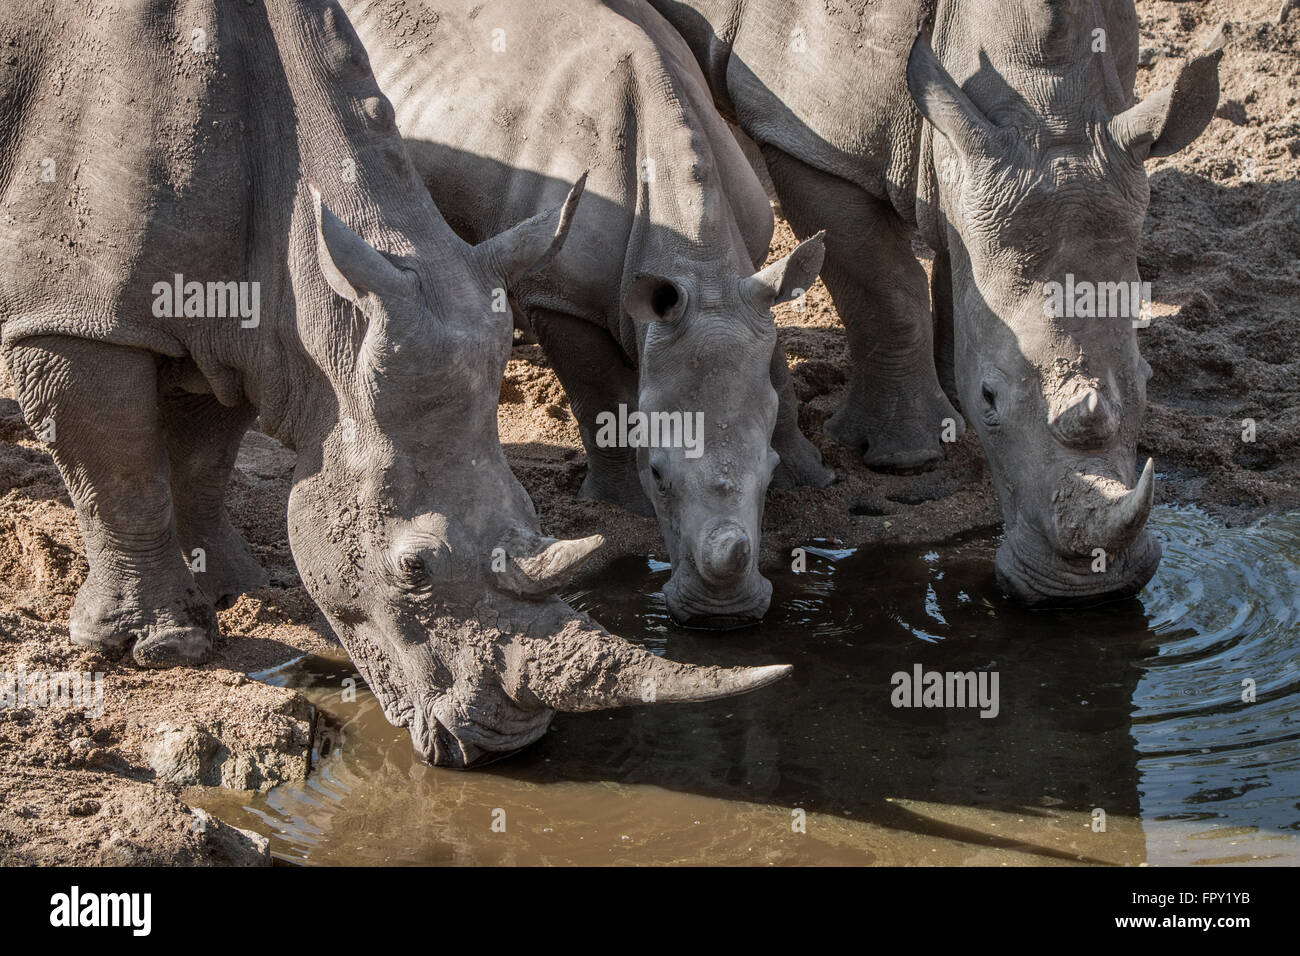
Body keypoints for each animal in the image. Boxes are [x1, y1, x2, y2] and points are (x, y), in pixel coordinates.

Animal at [344, 0, 830, 629]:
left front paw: (808, 475)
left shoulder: (750, 287)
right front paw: (619, 505)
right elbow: (597, 392)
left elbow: (775, 375)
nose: (721, 618)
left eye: (766, 476)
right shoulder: (558, 293)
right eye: (658, 477)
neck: (699, 269)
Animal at [649, 0, 1223, 605]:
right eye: (991, 397)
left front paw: (952, 410)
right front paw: (910, 457)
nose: (1088, 590)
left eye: (1148, 382)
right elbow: (885, 289)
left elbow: (962, 270)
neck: (1043, 99)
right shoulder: (809, 141)